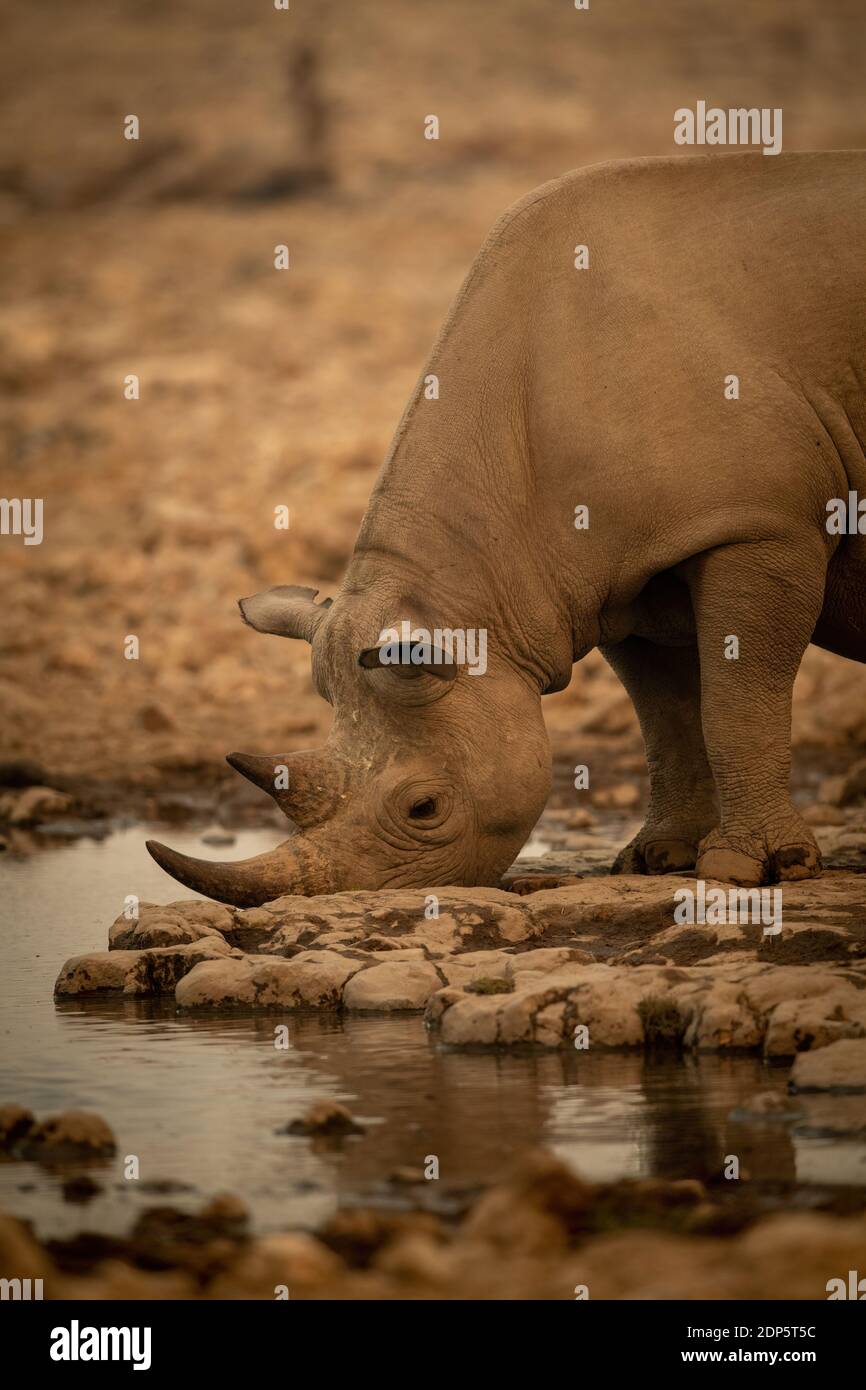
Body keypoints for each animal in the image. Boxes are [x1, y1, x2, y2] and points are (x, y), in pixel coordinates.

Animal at [148, 151, 866, 907]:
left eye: (424, 809)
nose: (368, 897)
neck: (480, 586)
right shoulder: (631, 572)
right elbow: (666, 714)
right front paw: (657, 859)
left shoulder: (758, 527)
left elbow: (738, 699)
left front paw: (747, 870)